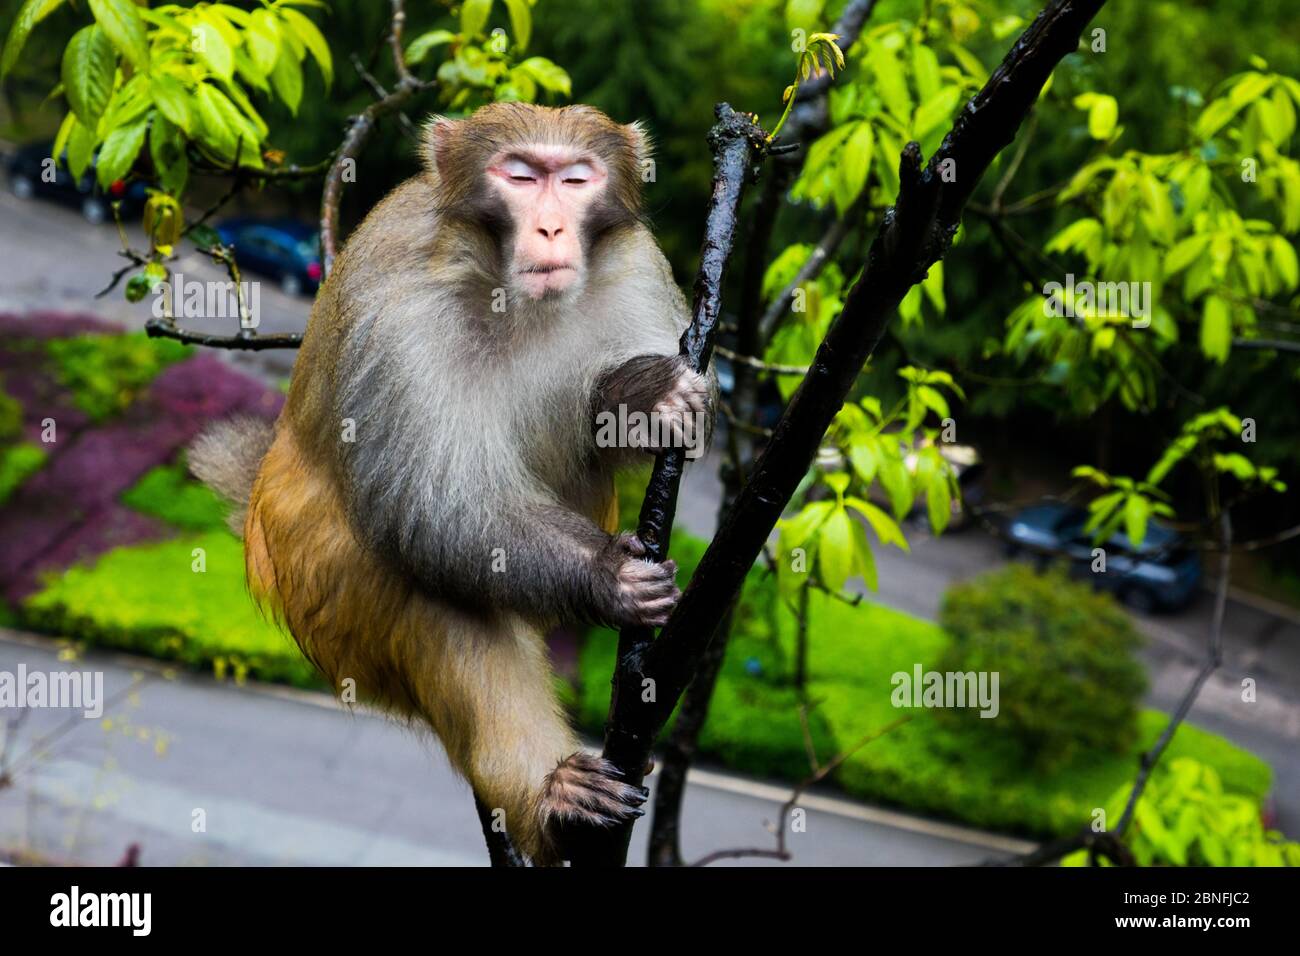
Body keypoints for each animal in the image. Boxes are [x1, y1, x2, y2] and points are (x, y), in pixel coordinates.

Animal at [189, 102, 714, 864]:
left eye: (575, 179)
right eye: (520, 176)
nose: (551, 227)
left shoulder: (638, 268)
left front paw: (641, 397)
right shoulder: (403, 317)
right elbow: (433, 508)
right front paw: (607, 575)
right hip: (315, 585)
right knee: (440, 594)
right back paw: (554, 802)